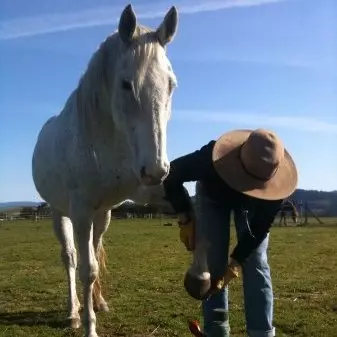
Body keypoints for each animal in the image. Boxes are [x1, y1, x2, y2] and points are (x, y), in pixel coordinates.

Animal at [31, 5, 178, 336]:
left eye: (171, 84)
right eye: (125, 83)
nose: (157, 169)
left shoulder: (121, 201)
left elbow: (96, 262)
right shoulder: (81, 212)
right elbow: (86, 269)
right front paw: (89, 326)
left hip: (102, 215)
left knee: (94, 252)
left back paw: (96, 302)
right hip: (61, 213)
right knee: (71, 259)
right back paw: (73, 312)